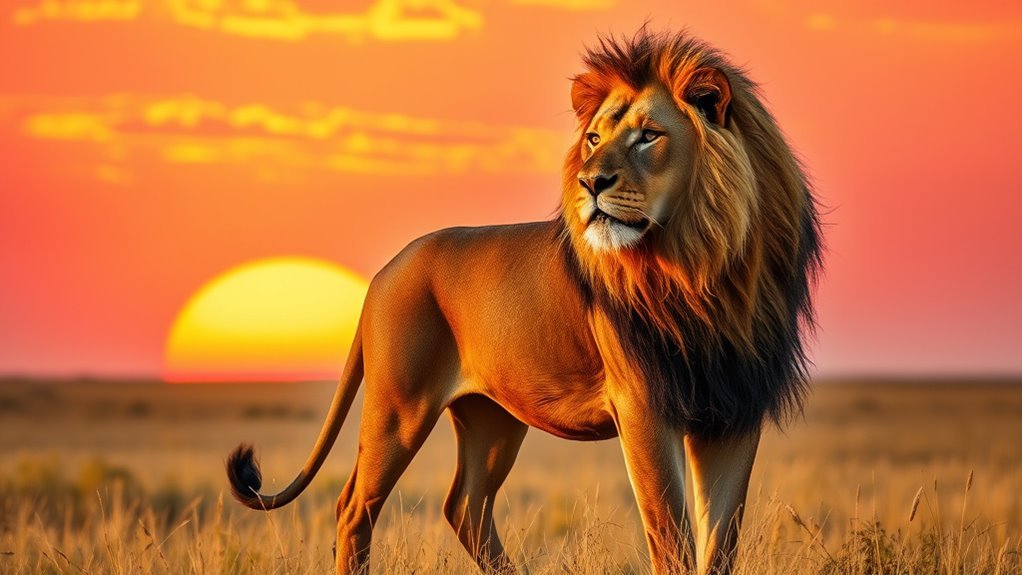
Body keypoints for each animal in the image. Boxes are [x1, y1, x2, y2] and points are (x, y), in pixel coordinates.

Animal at [226, 29, 822, 575]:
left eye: (649, 135)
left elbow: (720, 543)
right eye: (593, 138)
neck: (703, 268)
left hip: (491, 417)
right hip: (398, 407)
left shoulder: (735, 411)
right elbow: (671, 537)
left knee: (465, 506)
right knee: (355, 507)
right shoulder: (645, 405)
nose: (589, 182)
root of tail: (384, 271)